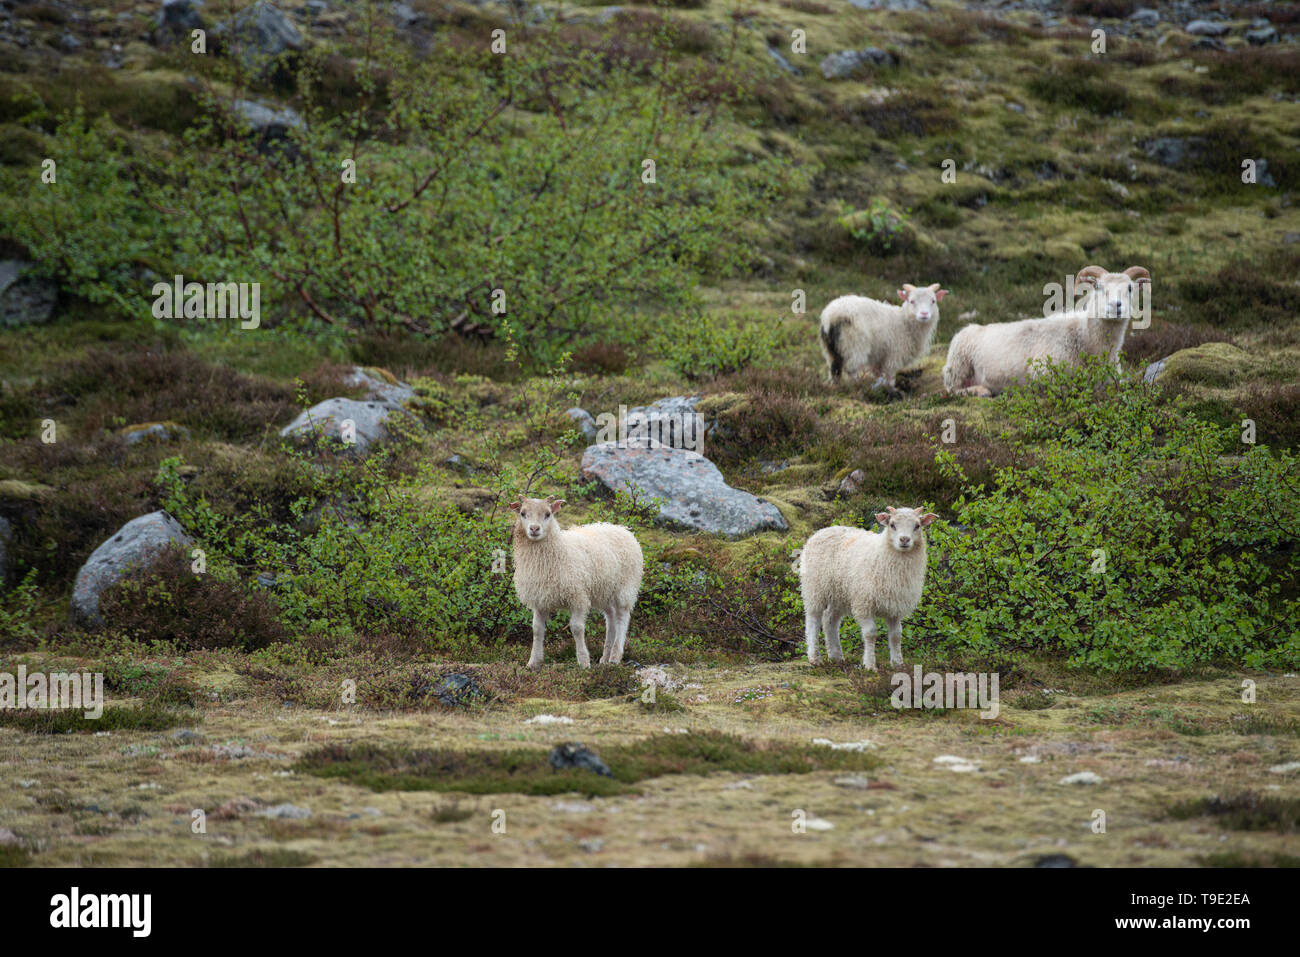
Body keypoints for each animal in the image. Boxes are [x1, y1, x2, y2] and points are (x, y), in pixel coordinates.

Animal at [509, 496, 644, 669]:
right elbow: (537, 630)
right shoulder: (540, 599)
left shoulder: (578, 597)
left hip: (625, 587)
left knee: (622, 618)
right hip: (604, 591)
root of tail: (623, 529)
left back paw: (615, 656)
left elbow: (577, 628)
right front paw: (533, 662)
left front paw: (584, 661)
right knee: (611, 618)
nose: (534, 529)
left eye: (548, 514)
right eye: (522, 513)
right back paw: (605, 657)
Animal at [799, 506, 937, 670]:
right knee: (813, 620)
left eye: (917, 526)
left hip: (839, 593)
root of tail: (822, 531)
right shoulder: (863, 603)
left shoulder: (895, 607)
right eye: (892, 525)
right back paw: (814, 657)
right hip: (815, 588)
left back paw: (836, 656)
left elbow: (896, 636)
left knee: (829, 620)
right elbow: (870, 634)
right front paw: (870, 665)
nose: (904, 540)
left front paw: (897, 664)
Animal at [819, 283, 950, 391]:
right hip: (854, 345)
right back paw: (857, 386)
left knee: (834, 369)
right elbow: (890, 377)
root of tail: (831, 316)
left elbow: (879, 375)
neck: (904, 323)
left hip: (831, 349)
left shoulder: (878, 359)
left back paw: (835, 387)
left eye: (933, 301)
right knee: (852, 369)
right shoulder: (894, 355)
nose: (924, 314)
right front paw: (891, 390)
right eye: (912, 301)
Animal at [942, 265, 1151, 397]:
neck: (1085, 339)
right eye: (1098, 287)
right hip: (958, 366)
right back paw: (982, 391)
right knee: (951, 389)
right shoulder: (1043, 373)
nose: (1115, 306)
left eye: (1130, 288)